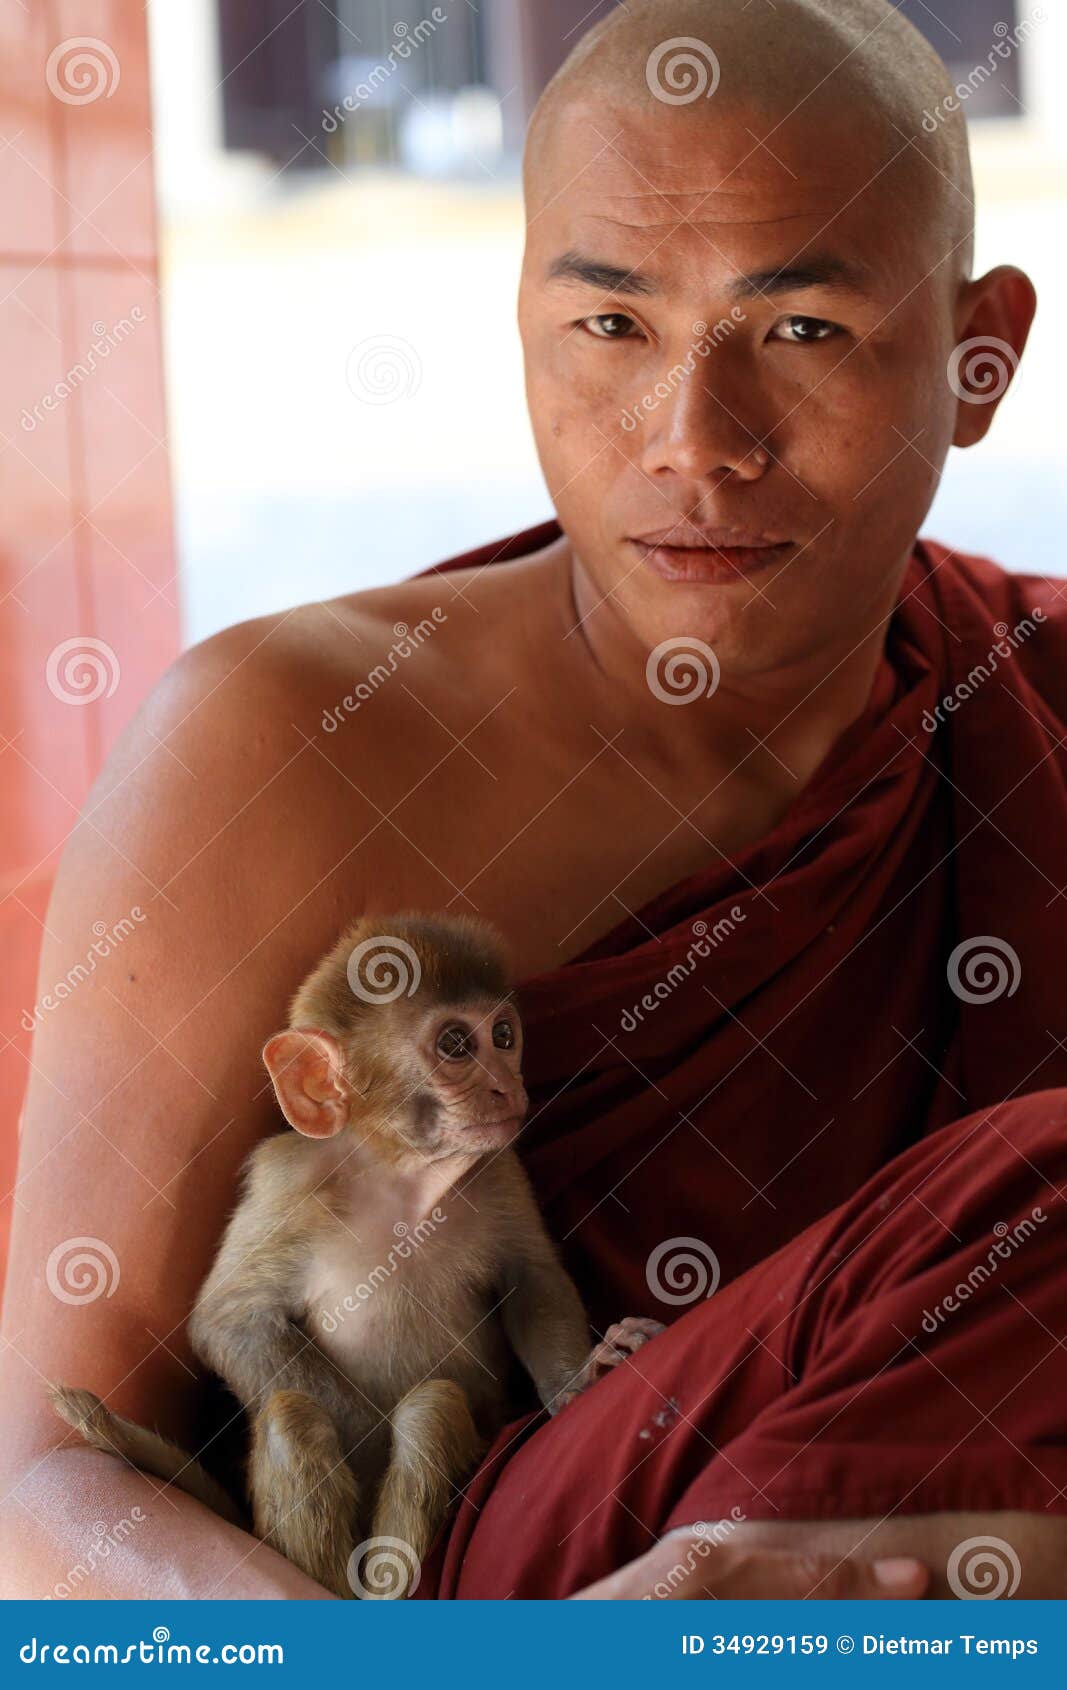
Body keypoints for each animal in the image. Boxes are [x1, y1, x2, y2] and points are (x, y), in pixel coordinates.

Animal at [51, 913, 663, 1598]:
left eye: (504, 1036)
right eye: (457, 1045)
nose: (508, 1086)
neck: (402, 1179)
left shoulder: (499, 1168)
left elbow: (530, 1278)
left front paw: (580, 1382)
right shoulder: (284, 1184)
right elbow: (231, 1321)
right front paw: (368, 1449)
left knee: (428, 1412)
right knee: (294, 1417)